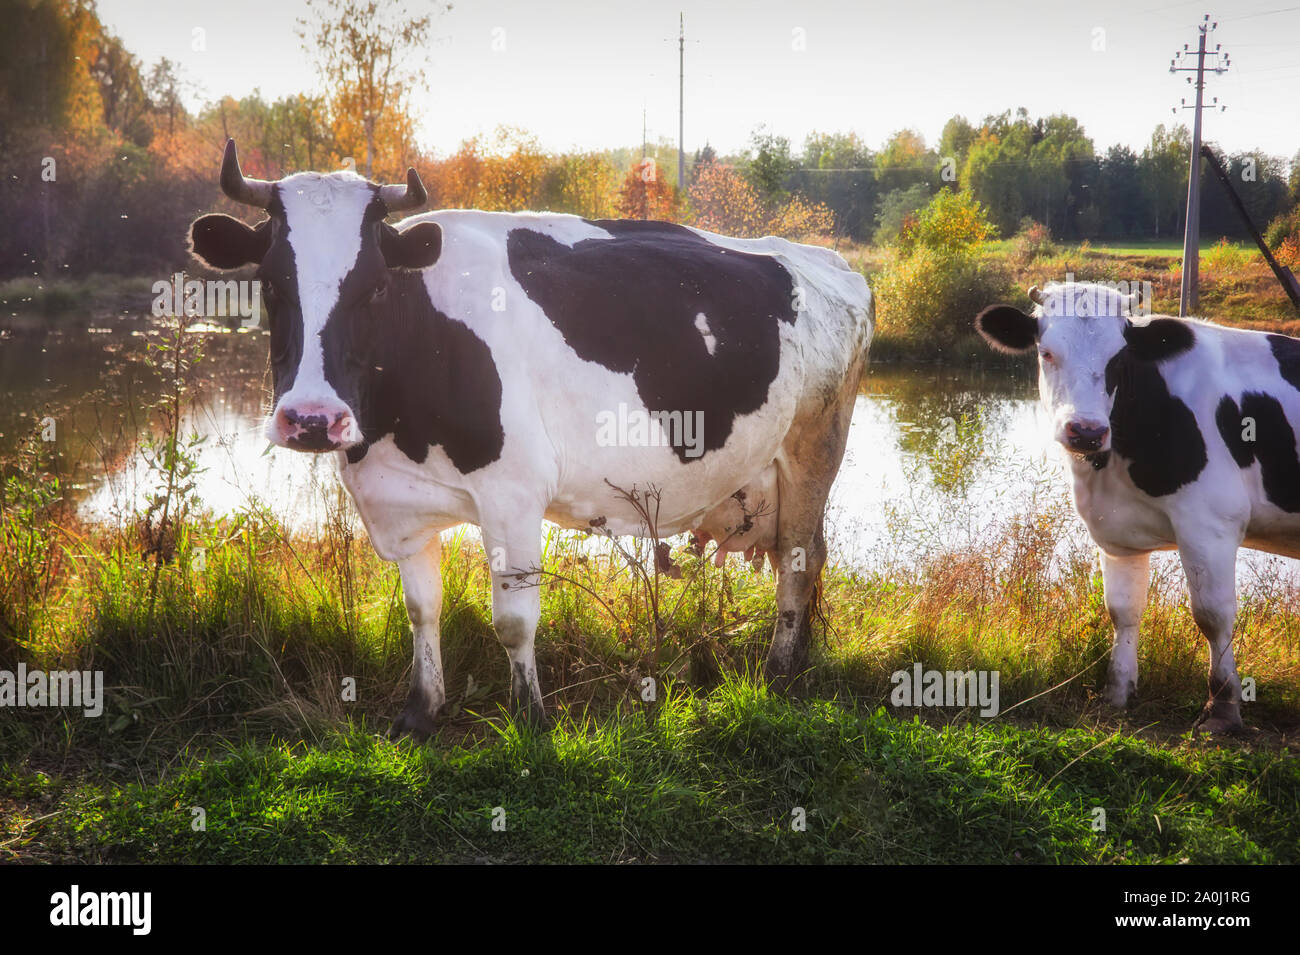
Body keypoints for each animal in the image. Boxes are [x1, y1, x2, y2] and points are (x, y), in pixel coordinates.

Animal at [189, 139, 874, 738]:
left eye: (375, 287)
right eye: (271, 284)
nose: (311, 419)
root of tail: (829, 260)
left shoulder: (514, 497)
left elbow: (514, 621)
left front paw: (531, 718)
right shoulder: (399, 501)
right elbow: (421, 609)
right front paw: (420, 712)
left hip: (815, 447)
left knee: (799, 563)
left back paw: (779, 674)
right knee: (804, 554)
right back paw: (796, 664)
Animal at [976, 281, 1300, 733]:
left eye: (1119, 357)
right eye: (1046, 352)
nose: (1086, 431)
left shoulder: (1211, 525)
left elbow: (1213, 615)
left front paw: (1222, 709)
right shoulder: (1116, 533)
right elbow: (1123, 610)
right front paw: (1117, 691)